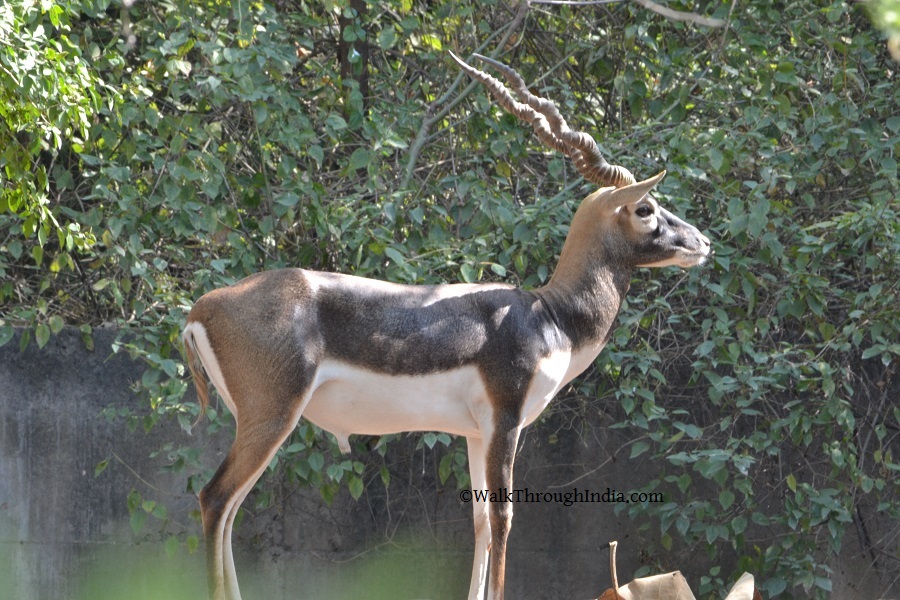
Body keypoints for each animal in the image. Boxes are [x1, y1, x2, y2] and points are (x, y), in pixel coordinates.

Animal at [182, 52, 711, 600]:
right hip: (272, 415)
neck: (549, 315)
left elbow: (479, 522)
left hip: (258, 422)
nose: (703, 243)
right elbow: (503, 518)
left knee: (231, 510)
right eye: (646, 208)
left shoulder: (475, 432)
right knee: (215, 499)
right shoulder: (505, 419)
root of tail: (202, 308)